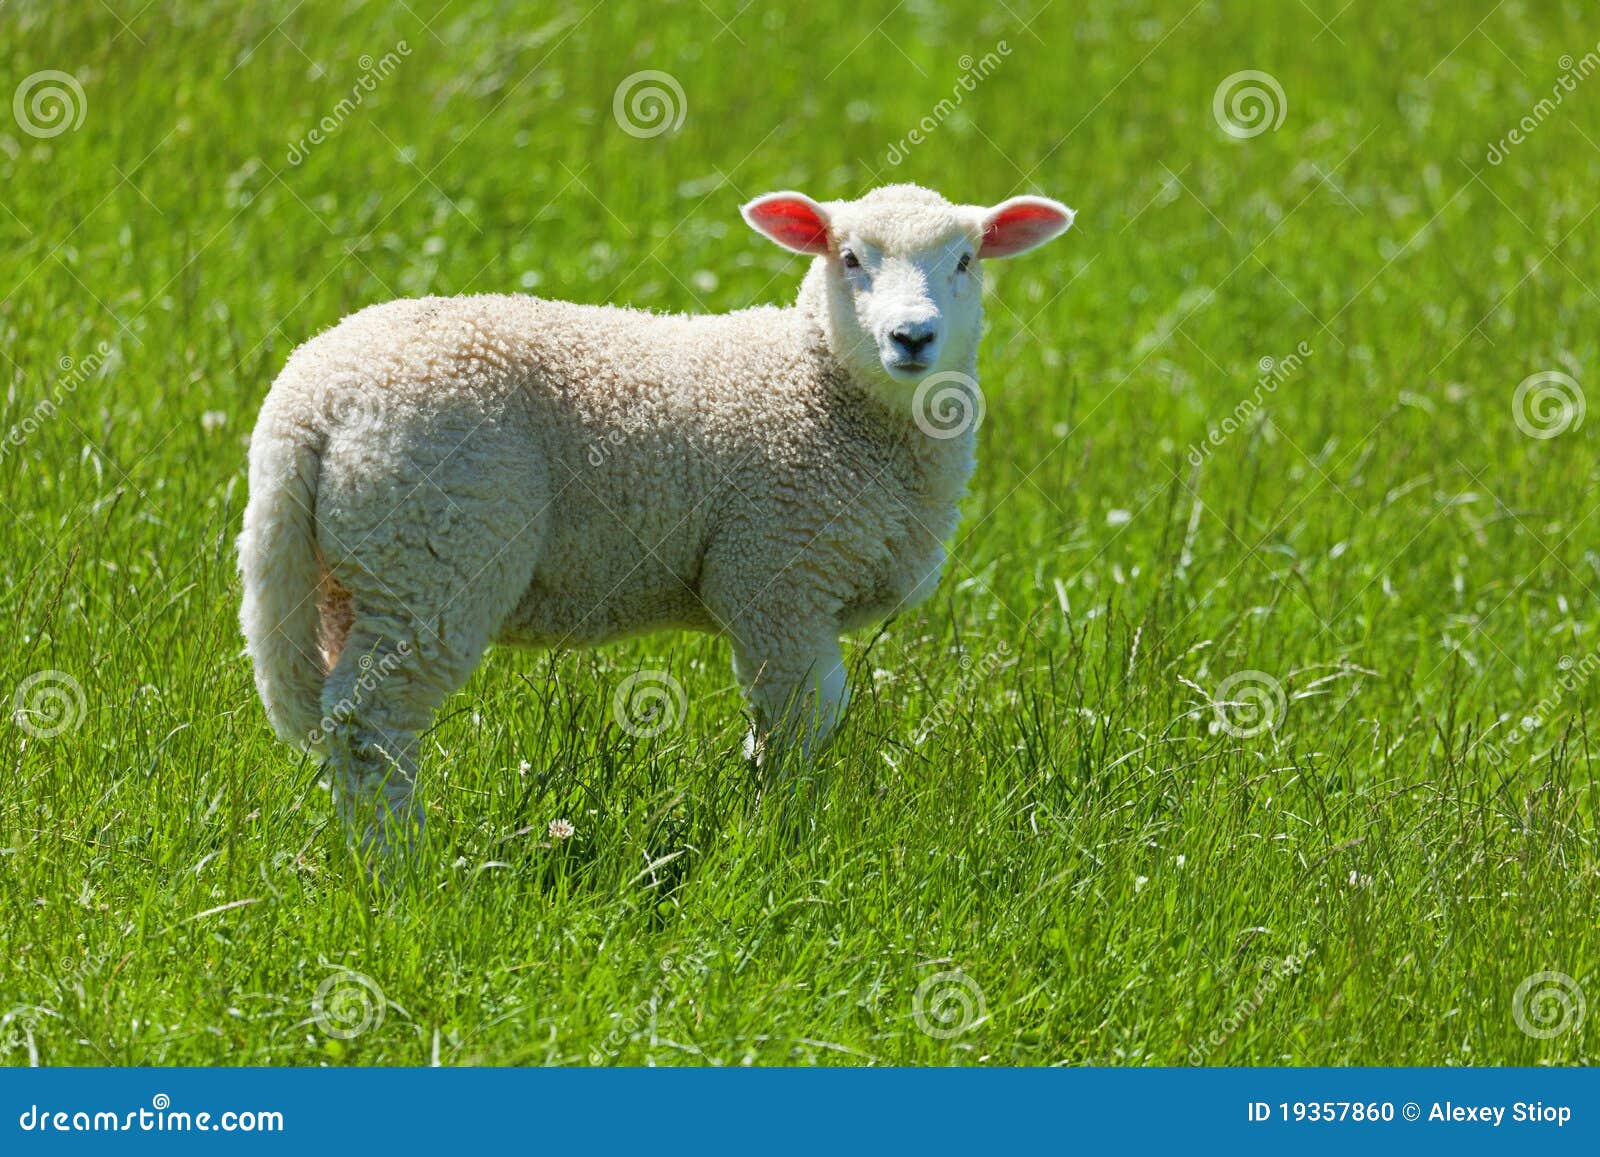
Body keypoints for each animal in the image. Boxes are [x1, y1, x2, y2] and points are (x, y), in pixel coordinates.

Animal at [237, 183, 1075, 855]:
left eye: (965, 260)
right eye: (849, 258)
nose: (912, 337)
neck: (825, 389)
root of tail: (307, 398)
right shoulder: (775, 575)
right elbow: (800, 723)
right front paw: (784, 838)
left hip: (349, 568)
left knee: (342, 722)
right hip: (435, 549)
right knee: (371, 725)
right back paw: (403, 869)